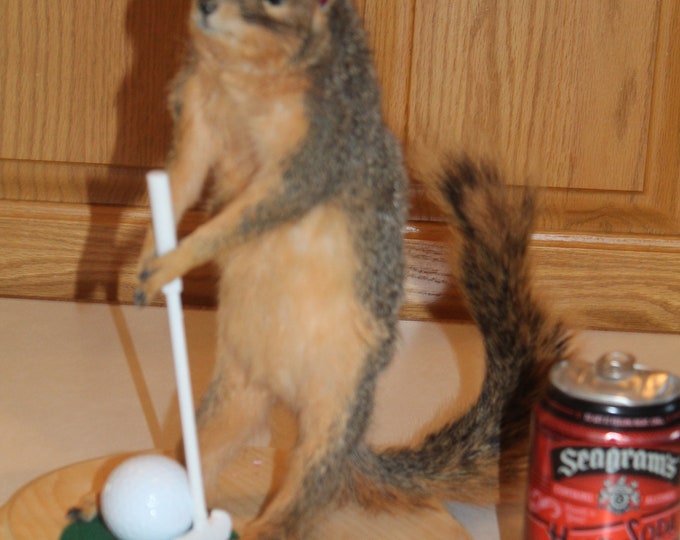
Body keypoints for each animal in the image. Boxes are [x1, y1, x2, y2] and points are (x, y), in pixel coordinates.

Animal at [135, 1, 572, 538]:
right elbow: (181, 176)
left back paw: (263, 528)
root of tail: (286, 394)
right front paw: (145, 255)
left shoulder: (324, 143)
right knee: (208, 451)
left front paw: (177, 258)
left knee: (310, 492)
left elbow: (259, 209)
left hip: (336, 411)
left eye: (278, 4)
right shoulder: (196, 109)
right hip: (233, 402)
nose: (207, 7)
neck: (247, 78)